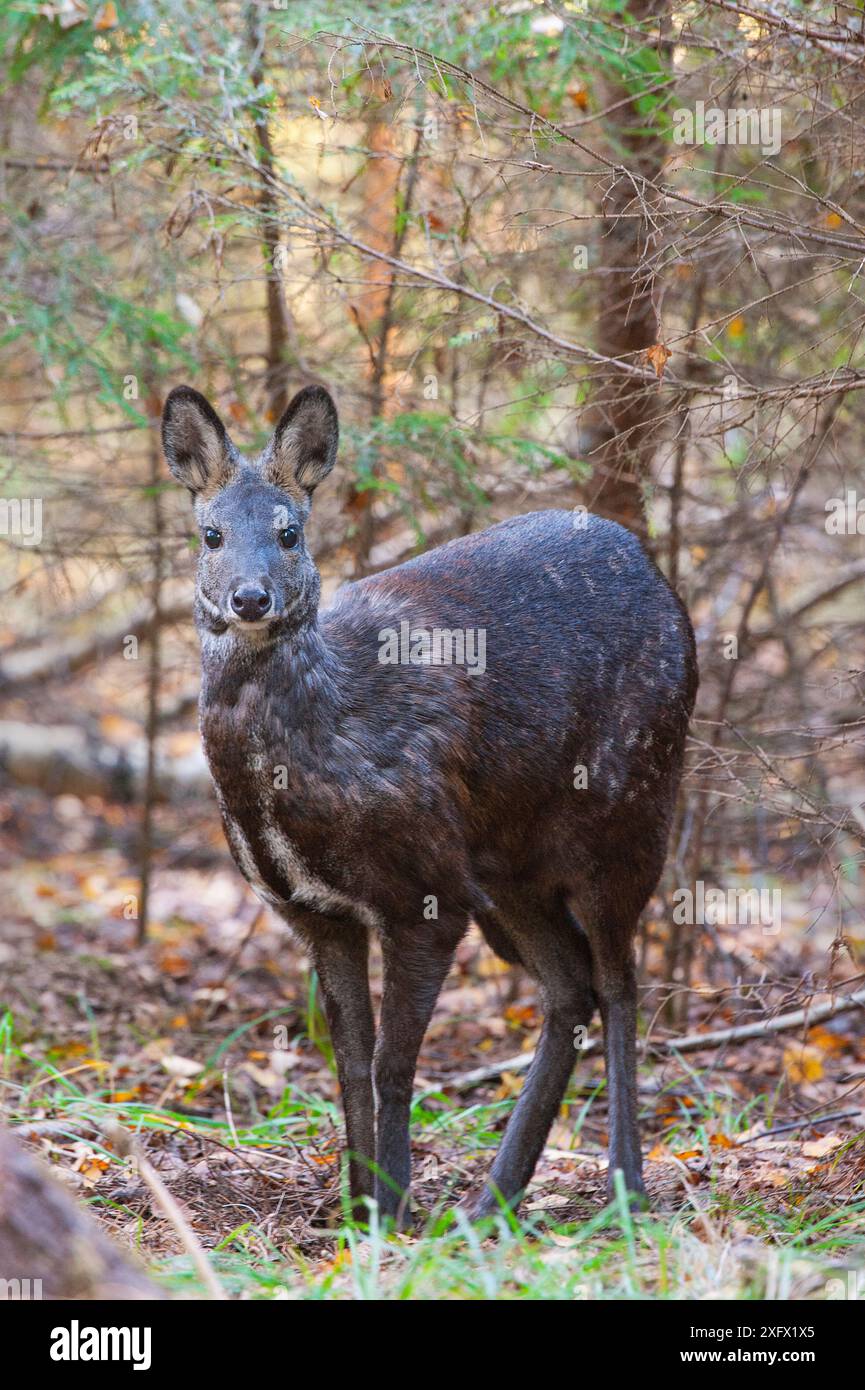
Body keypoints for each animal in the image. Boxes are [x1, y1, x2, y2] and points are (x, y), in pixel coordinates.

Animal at [162, 382, 698, 1224]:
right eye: (210, 533)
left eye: (289, 532)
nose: (250, 598)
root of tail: (657, 575)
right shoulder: (318, 913)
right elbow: (347, 1061)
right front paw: (355, 1209)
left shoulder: (426, 894)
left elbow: (392, 1062)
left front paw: (389, 1207)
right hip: (510, 874)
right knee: (569, 987)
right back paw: (494, 1199)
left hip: (632, 816)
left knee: (618, 983)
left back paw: (625, 1188)